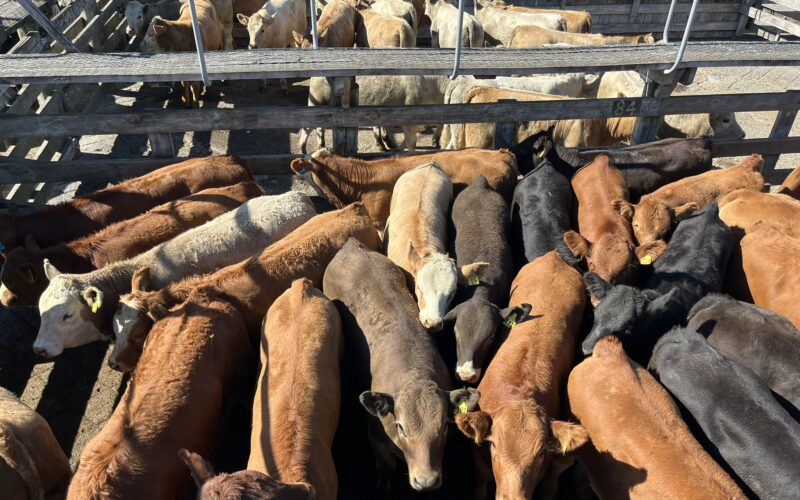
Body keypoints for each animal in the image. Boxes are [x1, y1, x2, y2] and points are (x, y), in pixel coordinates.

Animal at [323, 238, 478, 492]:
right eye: (401, 427)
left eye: (444, 427)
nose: (426, 481)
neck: (414, 373)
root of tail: (352, 245)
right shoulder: (376, 438)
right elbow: (386, 466)